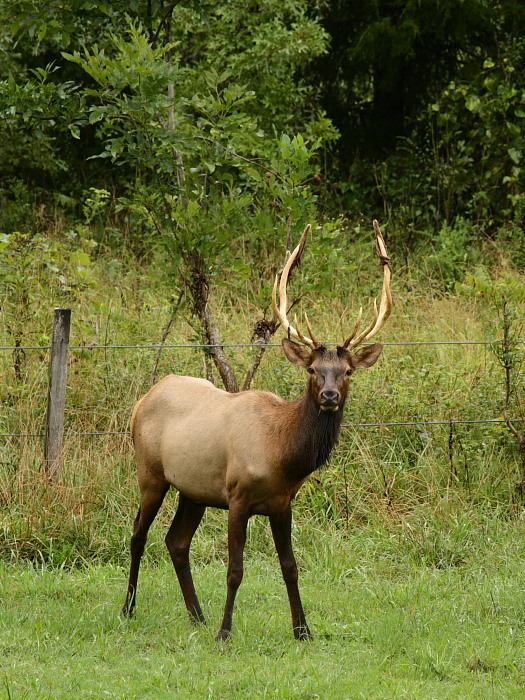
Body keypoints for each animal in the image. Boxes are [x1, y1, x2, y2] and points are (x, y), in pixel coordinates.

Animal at [122, 220, 392, 641]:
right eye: (313, 369)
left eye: (347, 371)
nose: (329, 396)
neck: (282, 455)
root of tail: (141, 401)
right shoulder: (237, 496)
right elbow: (235, 570)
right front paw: (225, 632)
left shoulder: (282, 504)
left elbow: (290, 567)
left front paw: (303, 630)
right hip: (150, 472)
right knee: (138, 535)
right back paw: (129, 608)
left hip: (193, 490)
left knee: (176, 542)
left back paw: (196, 615)